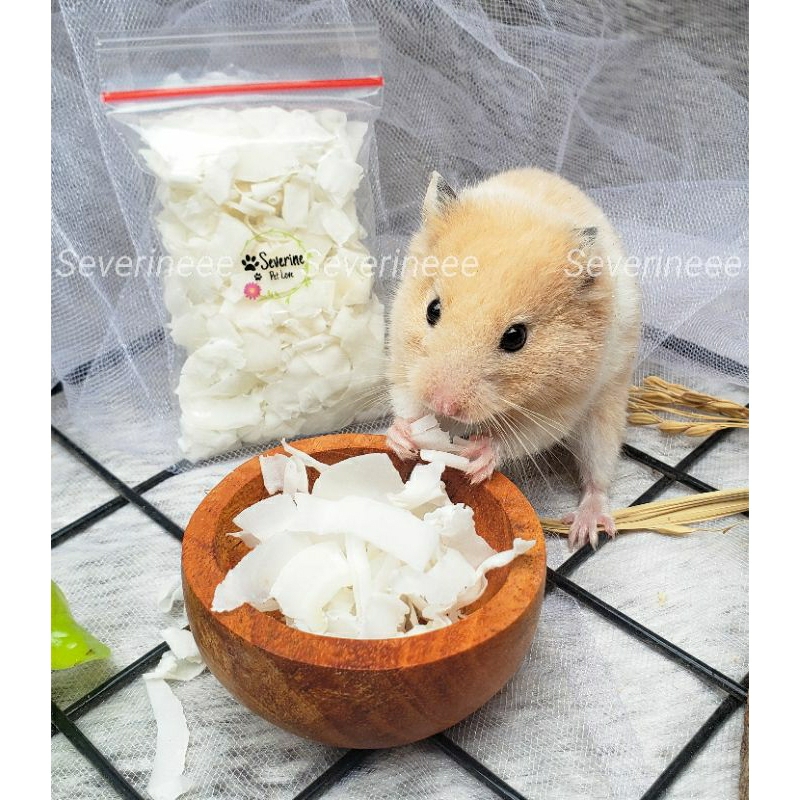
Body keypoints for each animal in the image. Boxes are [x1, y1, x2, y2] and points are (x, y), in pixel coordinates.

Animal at [386, 168, 641, 550]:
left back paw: (586, 530)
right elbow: (407, 405)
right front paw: (401, 438)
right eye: (432, 309)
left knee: (598, 475)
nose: (444, 404)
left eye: (515, 337)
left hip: (605, 411)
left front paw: (477, 456)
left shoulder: (558, 409)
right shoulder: (403, 363)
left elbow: (515, 438)